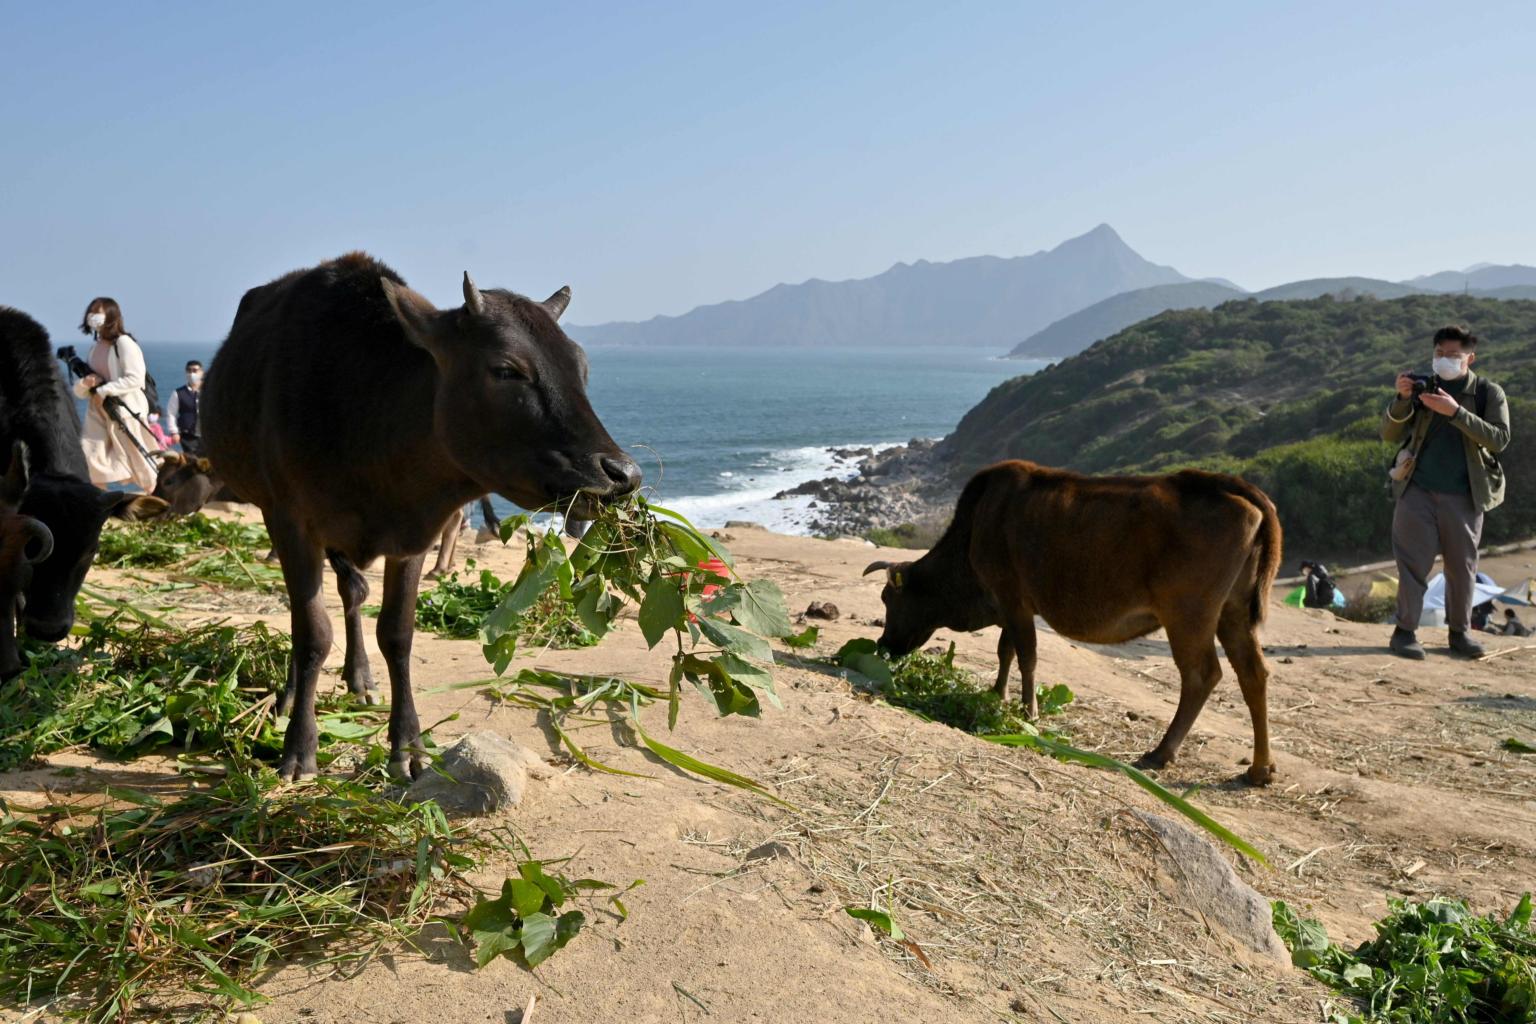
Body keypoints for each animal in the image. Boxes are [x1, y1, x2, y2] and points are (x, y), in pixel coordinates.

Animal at [203, 253, 641, 782]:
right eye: (506, 369)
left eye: (582, 367)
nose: (621, 472)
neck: (363, 415)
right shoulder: (290, 521)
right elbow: (311, 632)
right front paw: (299, 747)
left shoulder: (412, 532)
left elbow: (397, 634)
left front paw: (408, 746)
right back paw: (292, 696)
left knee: (354, 592)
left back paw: (360, 677)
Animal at [864, 460, 1282, 785]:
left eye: (888, 598)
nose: (883, 646)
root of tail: (1228, 485)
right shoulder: (1010, 606)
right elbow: (1006, 651)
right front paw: (997, 694)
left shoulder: (1012, 597)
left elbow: (1026, 656)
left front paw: (1028, 712)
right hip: (1234, 613)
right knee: (1253, 675)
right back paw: (1259, 770)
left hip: (1188, 613)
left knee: (1202, 675)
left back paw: (1160, 753)